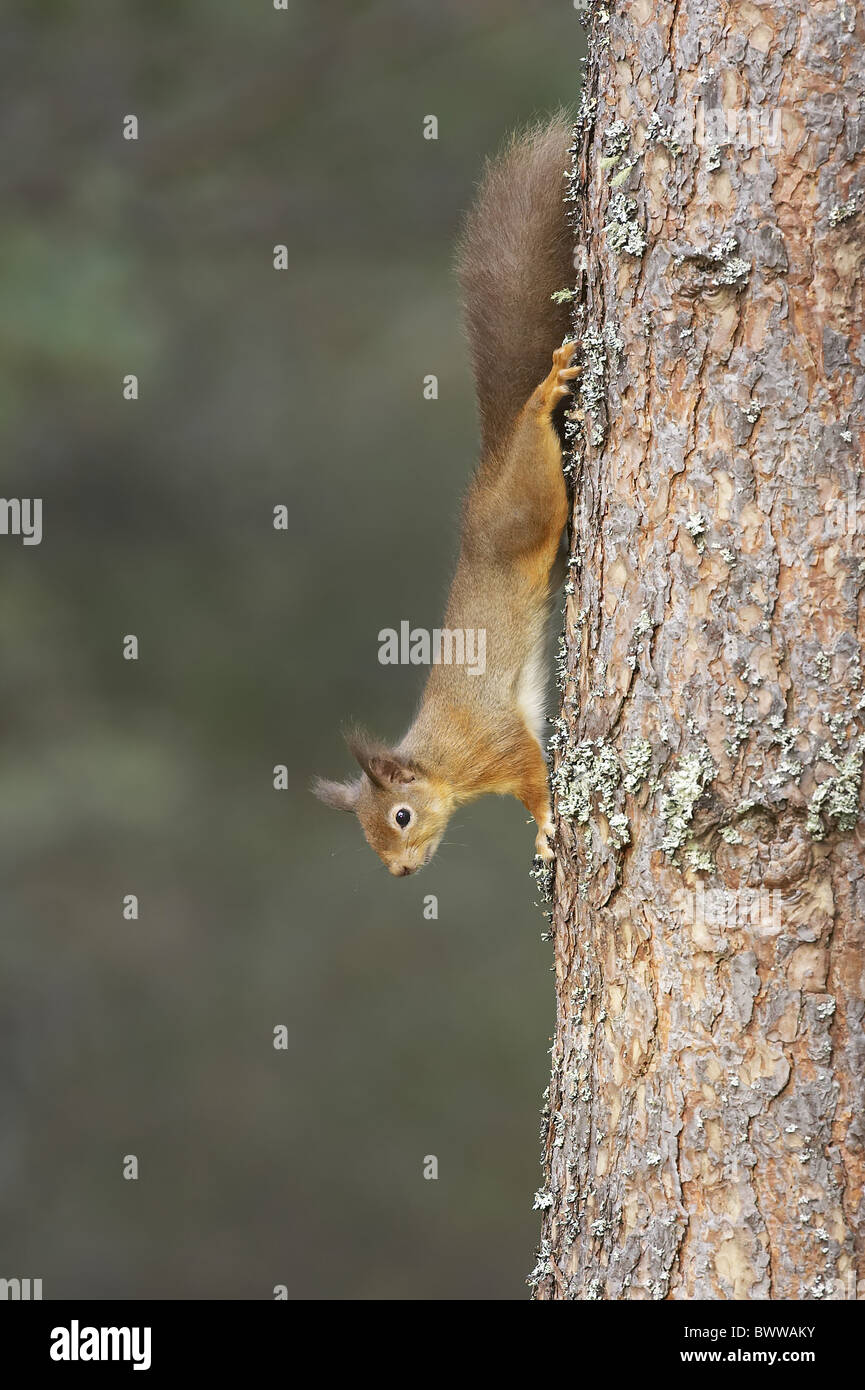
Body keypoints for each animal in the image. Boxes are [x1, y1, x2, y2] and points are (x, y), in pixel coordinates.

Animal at [314, 114, 579, 876]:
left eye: (401, 816)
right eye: (370, 837)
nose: (400, 873)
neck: (439, 761)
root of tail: (490, 471)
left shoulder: (496, 743)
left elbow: (533, 777)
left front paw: (545, 828)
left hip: (529, 501)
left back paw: (543, 395)